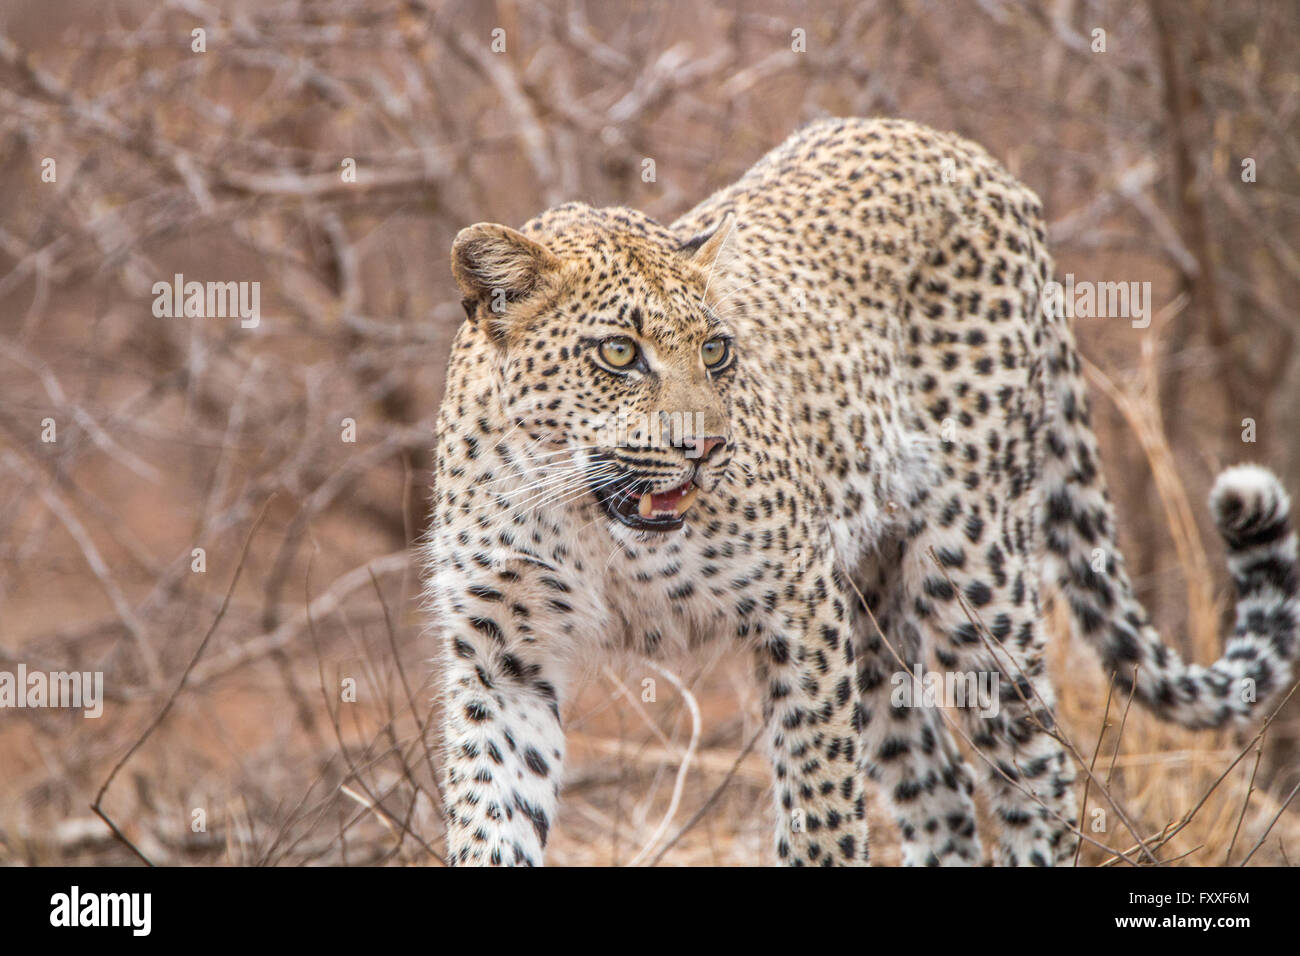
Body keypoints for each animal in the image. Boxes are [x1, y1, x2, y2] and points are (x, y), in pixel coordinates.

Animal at [422, 116, 1299, 867]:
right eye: (617, 352)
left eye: (716, 350)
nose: (706, 449)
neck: (583, 515)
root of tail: (967, 153)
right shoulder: (503, 658)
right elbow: (492, 818)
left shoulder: (797, 611)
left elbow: (820, 812)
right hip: (872, 610)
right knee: (941, 789)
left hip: (972, 571)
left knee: (1035, 771)